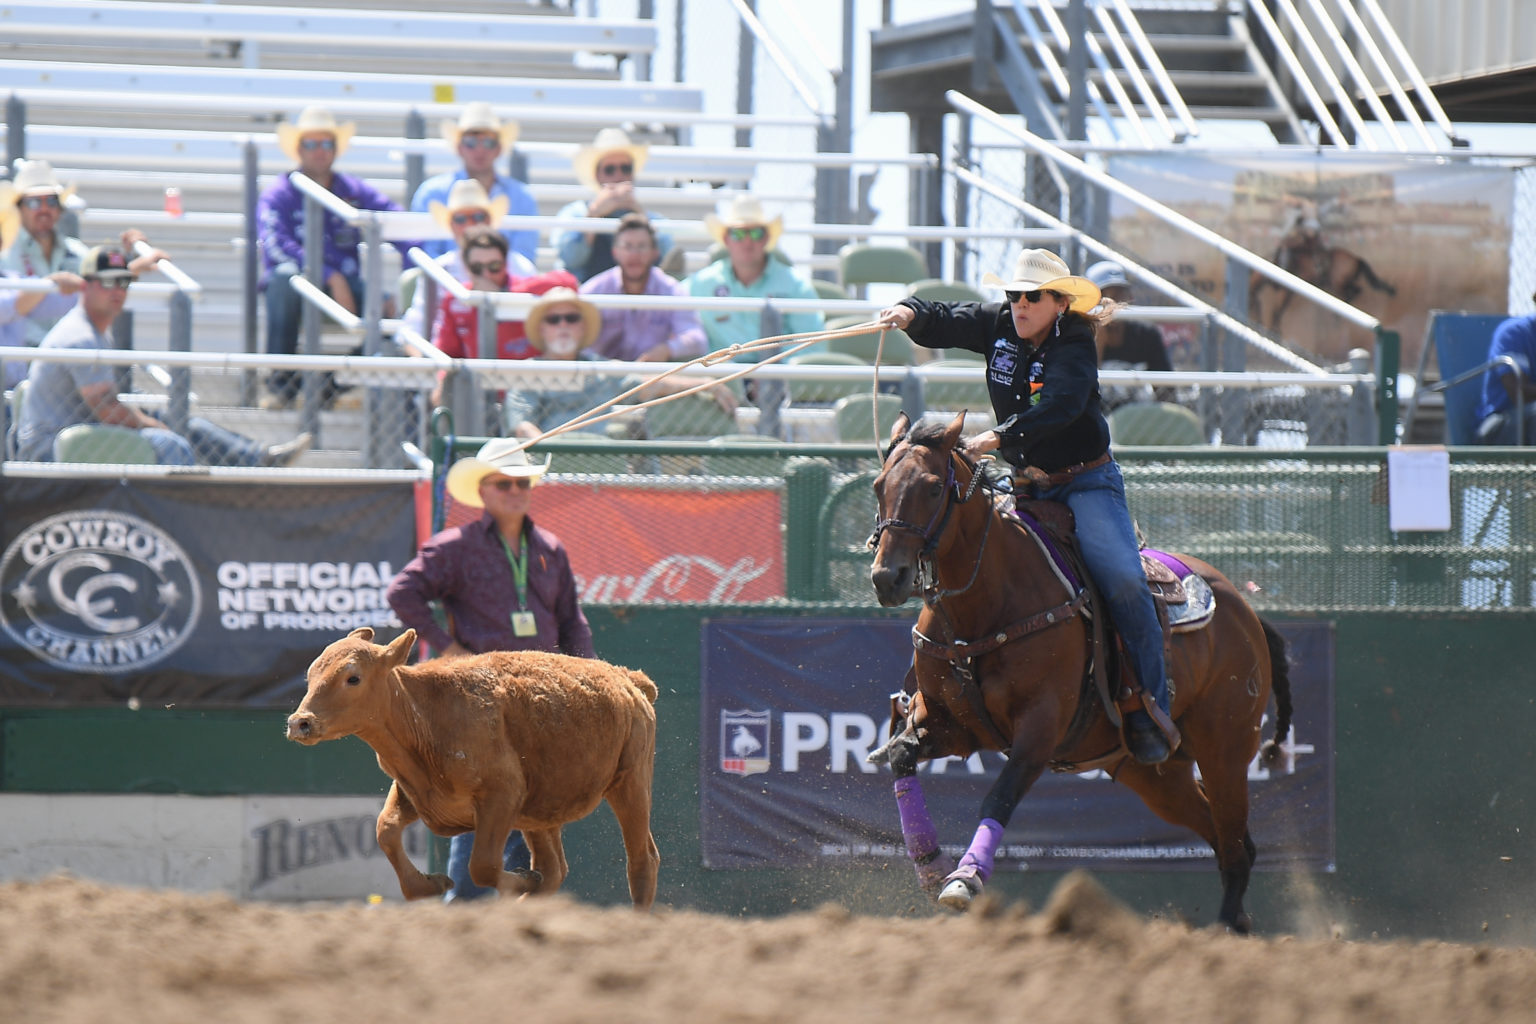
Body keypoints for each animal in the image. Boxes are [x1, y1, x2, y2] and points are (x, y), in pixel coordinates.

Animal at [867, 411, 1292, 933]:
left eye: (931, 488)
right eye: (879, 485)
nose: (887, 577)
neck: (984, 604)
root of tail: (1245, 611)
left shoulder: (1039, 730)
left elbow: (999, 796)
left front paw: (964, 879)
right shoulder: (952, 727)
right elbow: (902, 754)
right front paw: (931, 868)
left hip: (1225, 751)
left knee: (1233, 844)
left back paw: (1228, 926)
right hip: (1155, 777)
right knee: (1228, 838)